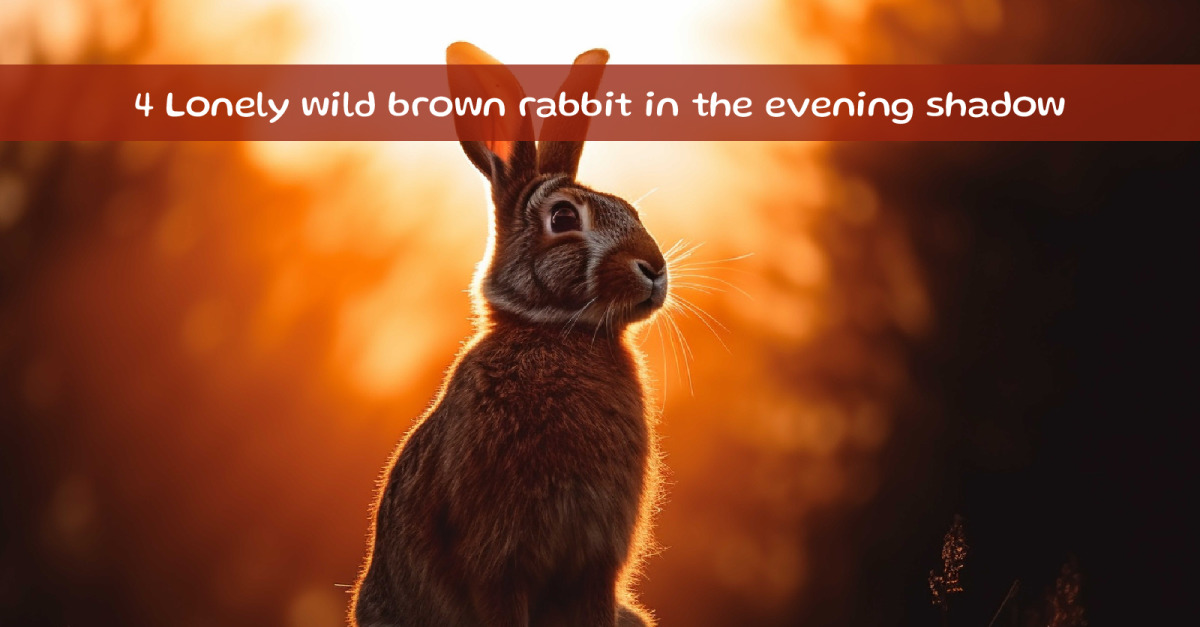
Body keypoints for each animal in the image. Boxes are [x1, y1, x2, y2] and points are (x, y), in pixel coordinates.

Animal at [350, 42, 667, 627]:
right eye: (563, 217)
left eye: (632, 210)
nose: (655, 269)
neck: (555, 333)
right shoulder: (497, 563)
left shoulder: (594, 567)